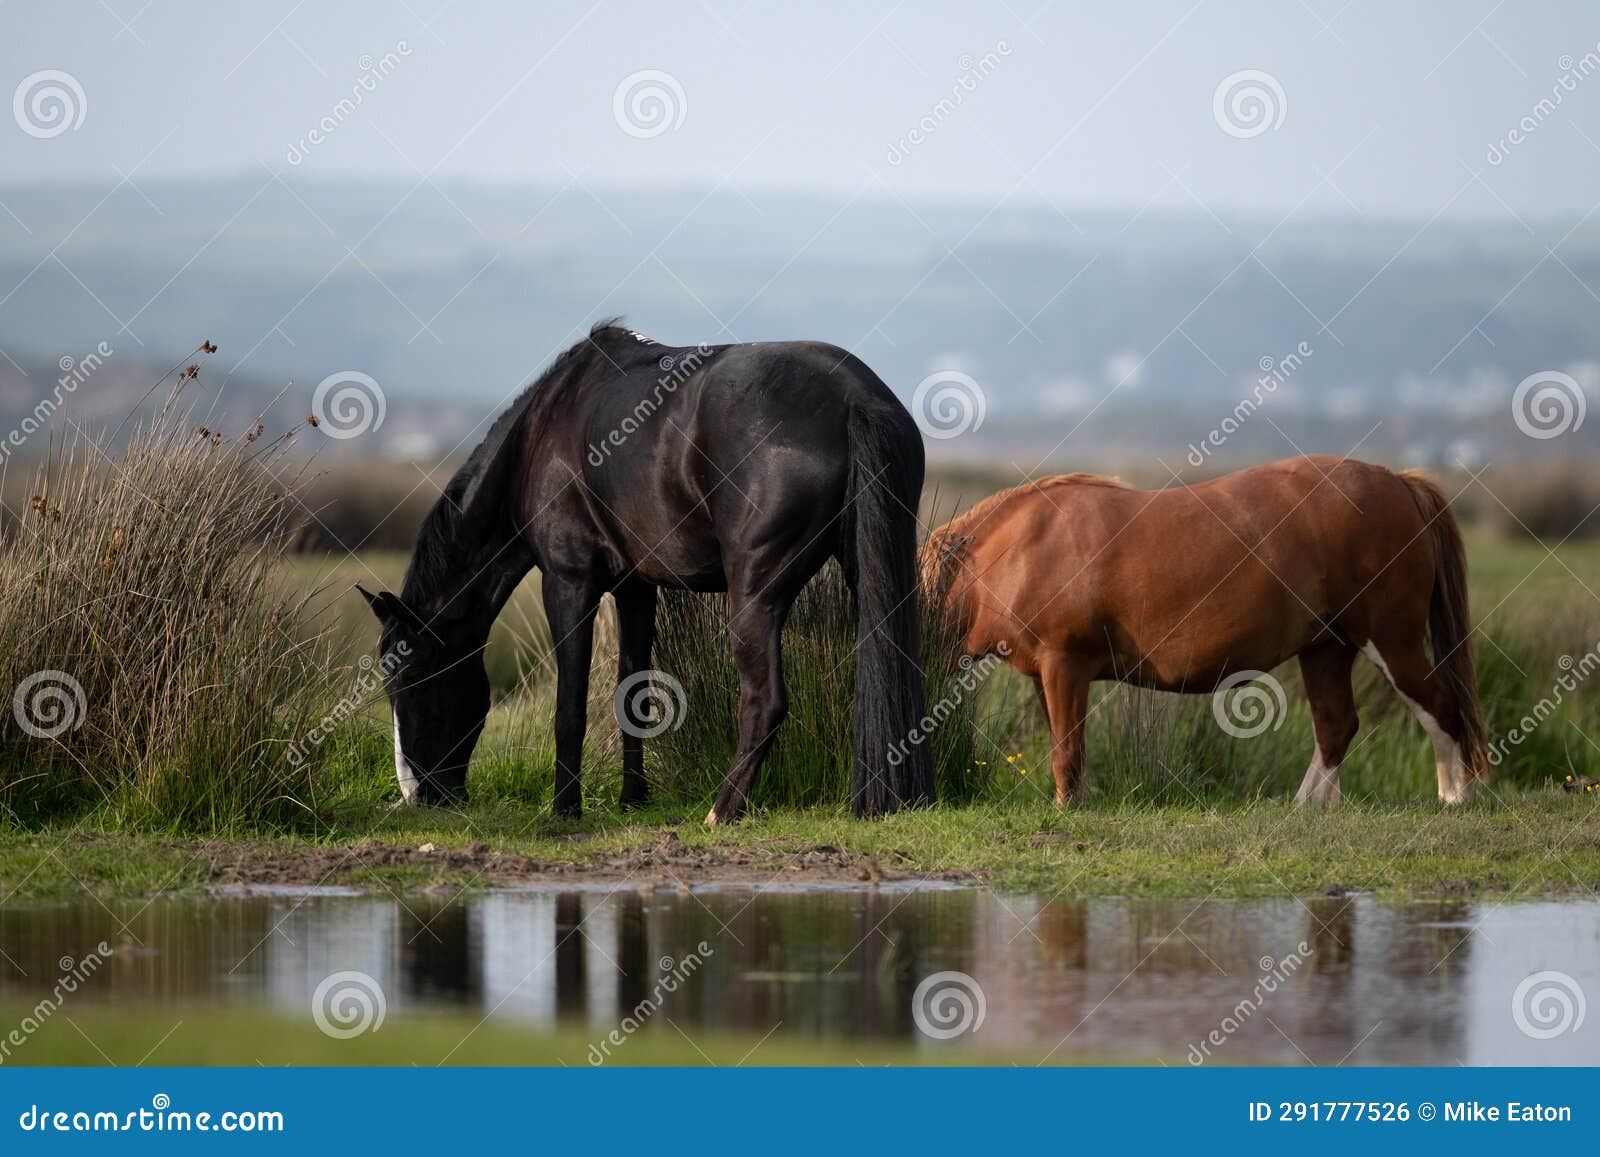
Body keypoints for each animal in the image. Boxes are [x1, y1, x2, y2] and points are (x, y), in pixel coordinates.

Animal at [358, 322, 932, 822]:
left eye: (410, 675)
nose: (417, 795)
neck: (543, 433)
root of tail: (853, 397)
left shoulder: (569, 583)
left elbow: (570, 707)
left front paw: (565, 808)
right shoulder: (636, 590)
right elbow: (630, 696)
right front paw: (633, 798)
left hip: (755, 594)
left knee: (765, 702)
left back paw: (722, 809)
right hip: (869, 572)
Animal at [921, 455, 1488, 805]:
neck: (1019, 548)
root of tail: (1398, 481)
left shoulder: (1065, 664)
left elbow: (1067, 750)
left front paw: (1067, 809)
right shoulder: (1049, 675)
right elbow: (1067, 745)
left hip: (1390, 641)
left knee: (1441, 707)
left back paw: (1453, 797)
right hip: (1326, 648)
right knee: (1336, 725)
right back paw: (1309, 805)